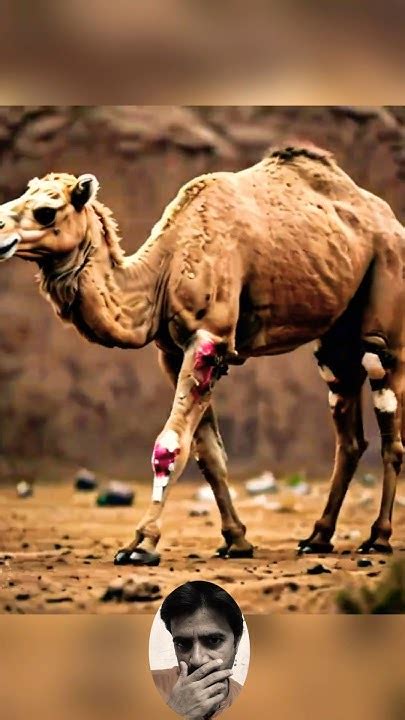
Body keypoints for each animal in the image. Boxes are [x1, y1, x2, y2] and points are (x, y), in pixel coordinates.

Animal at [0, 144, 404, 567]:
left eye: (46, 210)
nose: (0, 234)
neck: (162, 270)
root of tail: (391, 220)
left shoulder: (208, 338)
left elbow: (170, 445)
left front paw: (141, 544)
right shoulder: (173, 352)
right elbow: (208, 452)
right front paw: (236, 541)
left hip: (385, 302)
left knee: (389, 424)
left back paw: (378, 537)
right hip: (334, 338)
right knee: (349, 435)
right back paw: (317, 537)